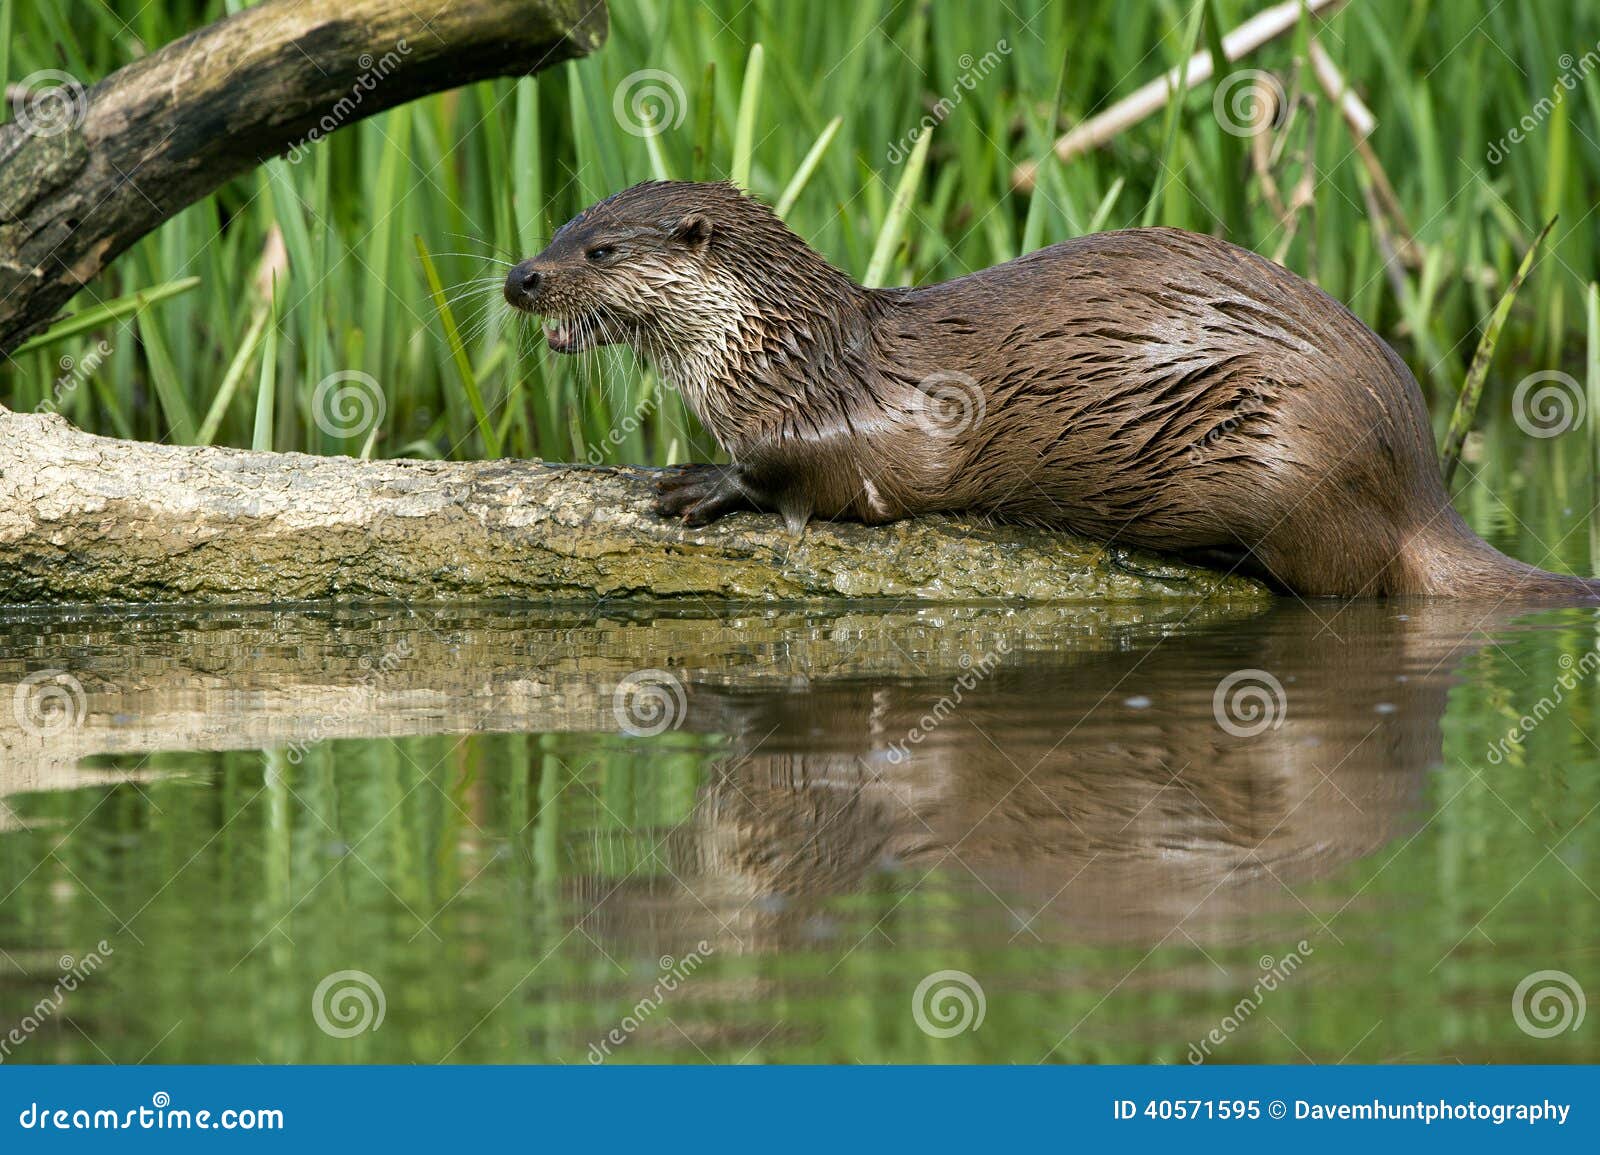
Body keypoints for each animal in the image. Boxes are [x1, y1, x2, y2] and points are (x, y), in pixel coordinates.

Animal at [503, 180, 1595, 598]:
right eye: (557, 226)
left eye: (597, 250)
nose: (519, 277)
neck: (781, 355)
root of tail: (1421, 484)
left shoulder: (867, 423)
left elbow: (813, 476)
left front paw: (704, 481)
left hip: (1296, 450)